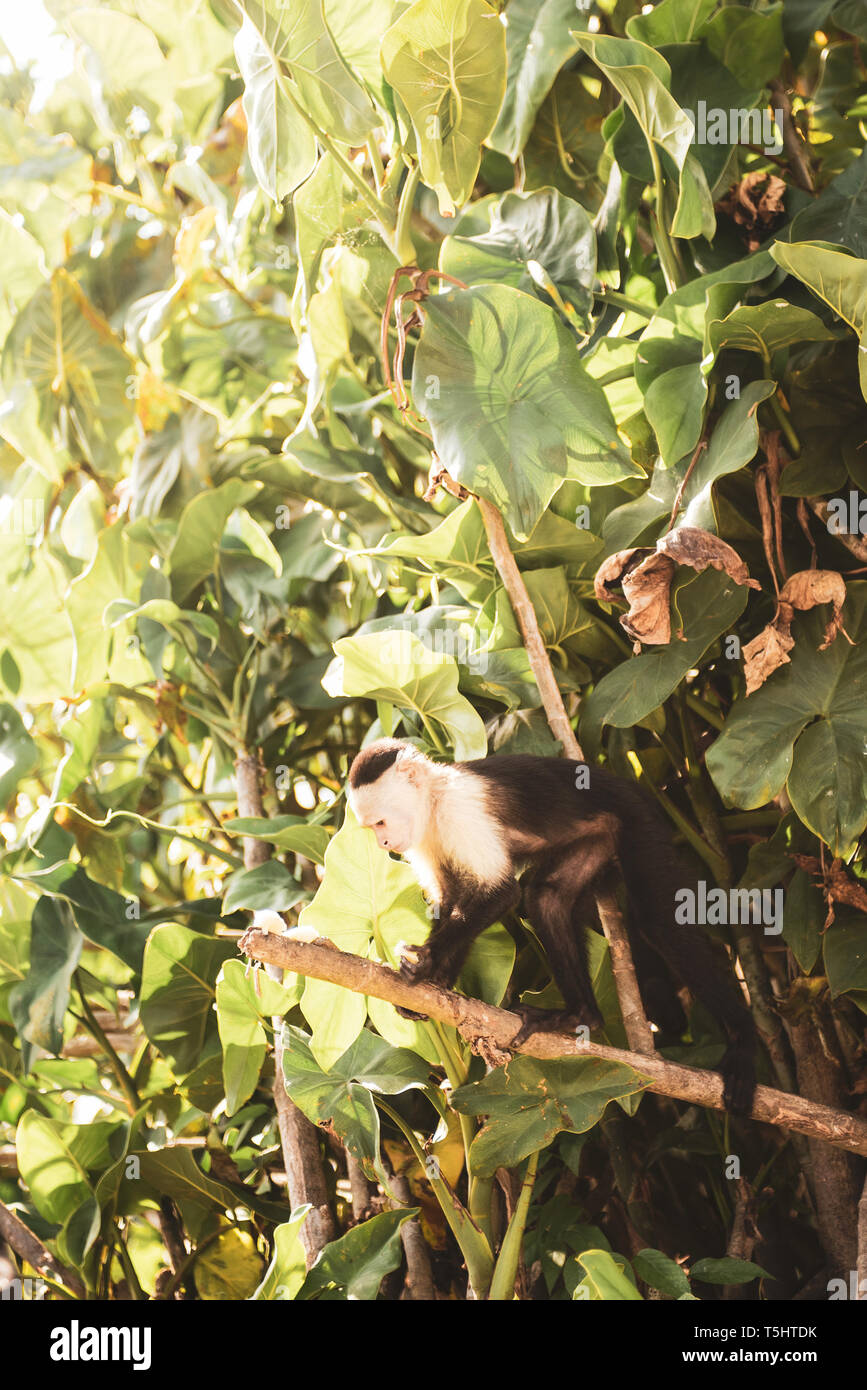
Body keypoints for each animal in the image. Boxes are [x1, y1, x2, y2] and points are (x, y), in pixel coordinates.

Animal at [346, 738, 757, 1115]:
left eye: (380, 822)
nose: (384, 843)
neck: (434, 801)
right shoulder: (424, 840)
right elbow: (452, 900)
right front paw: (436, 981)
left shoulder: (461, 812)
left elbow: (500, 894)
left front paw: (426, 961)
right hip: (597, 837)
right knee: (547, 898)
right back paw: (581, 1015)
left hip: (639, 818)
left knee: (659, 924)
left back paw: (742, 1038)